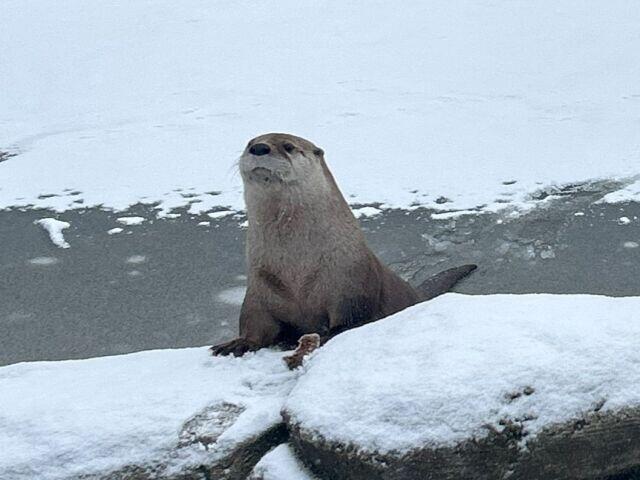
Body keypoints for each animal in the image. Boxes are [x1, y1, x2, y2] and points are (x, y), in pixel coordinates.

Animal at [211, 133, 476, 356]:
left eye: (288, 146)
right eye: (249, 142)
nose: (259, 148)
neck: (297, 269)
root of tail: (417, 294)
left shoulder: (350, 283)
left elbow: (351, 321)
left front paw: (324, 336)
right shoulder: (260, 285)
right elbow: (255, 322)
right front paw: (237, 343)